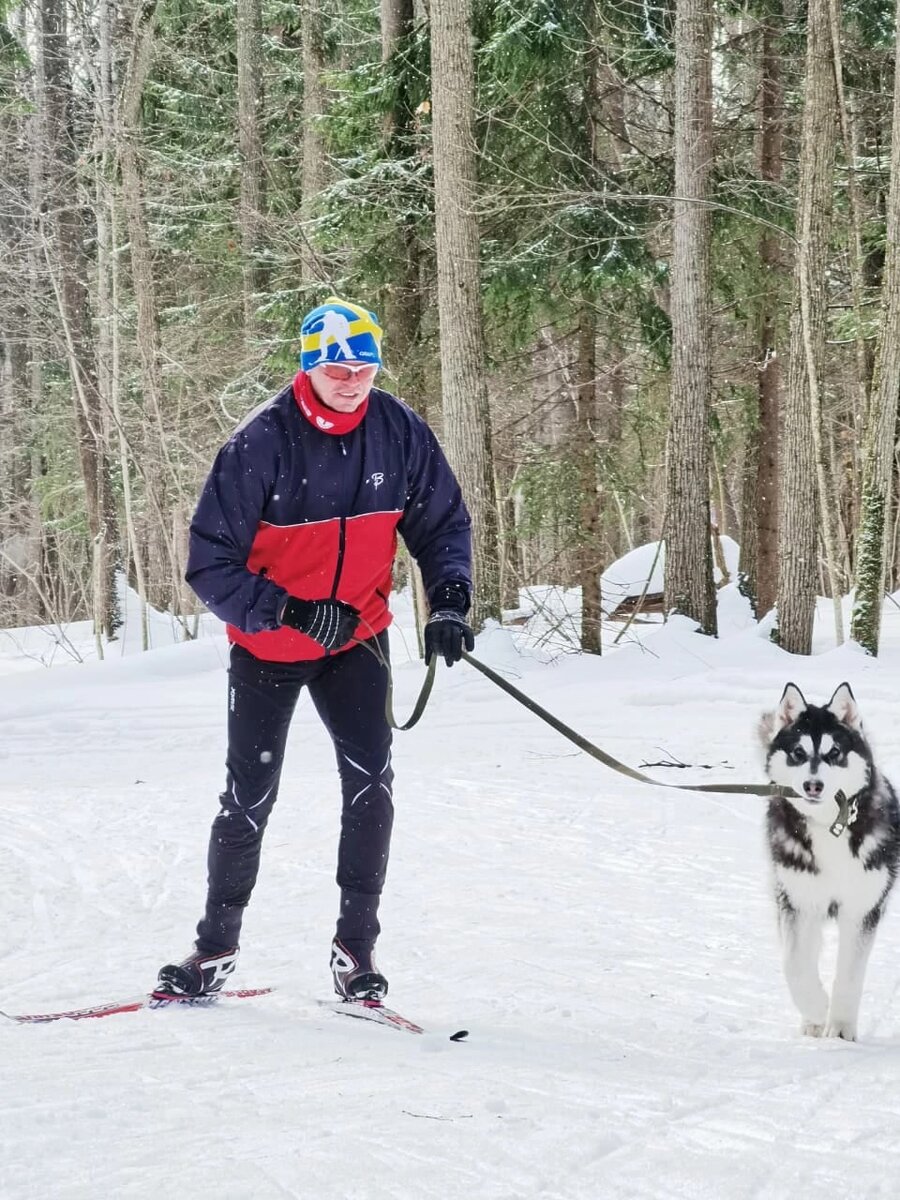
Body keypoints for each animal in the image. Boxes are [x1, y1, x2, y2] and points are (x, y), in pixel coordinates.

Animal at [763, 686, 900, 1041]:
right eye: (798, 753)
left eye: (834, 752)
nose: (813, 785)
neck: (830, 824)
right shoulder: (798, 901)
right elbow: (794, 964)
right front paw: (817, 1010)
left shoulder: (862, 908)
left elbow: (850, 975)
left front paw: (839, 1027)